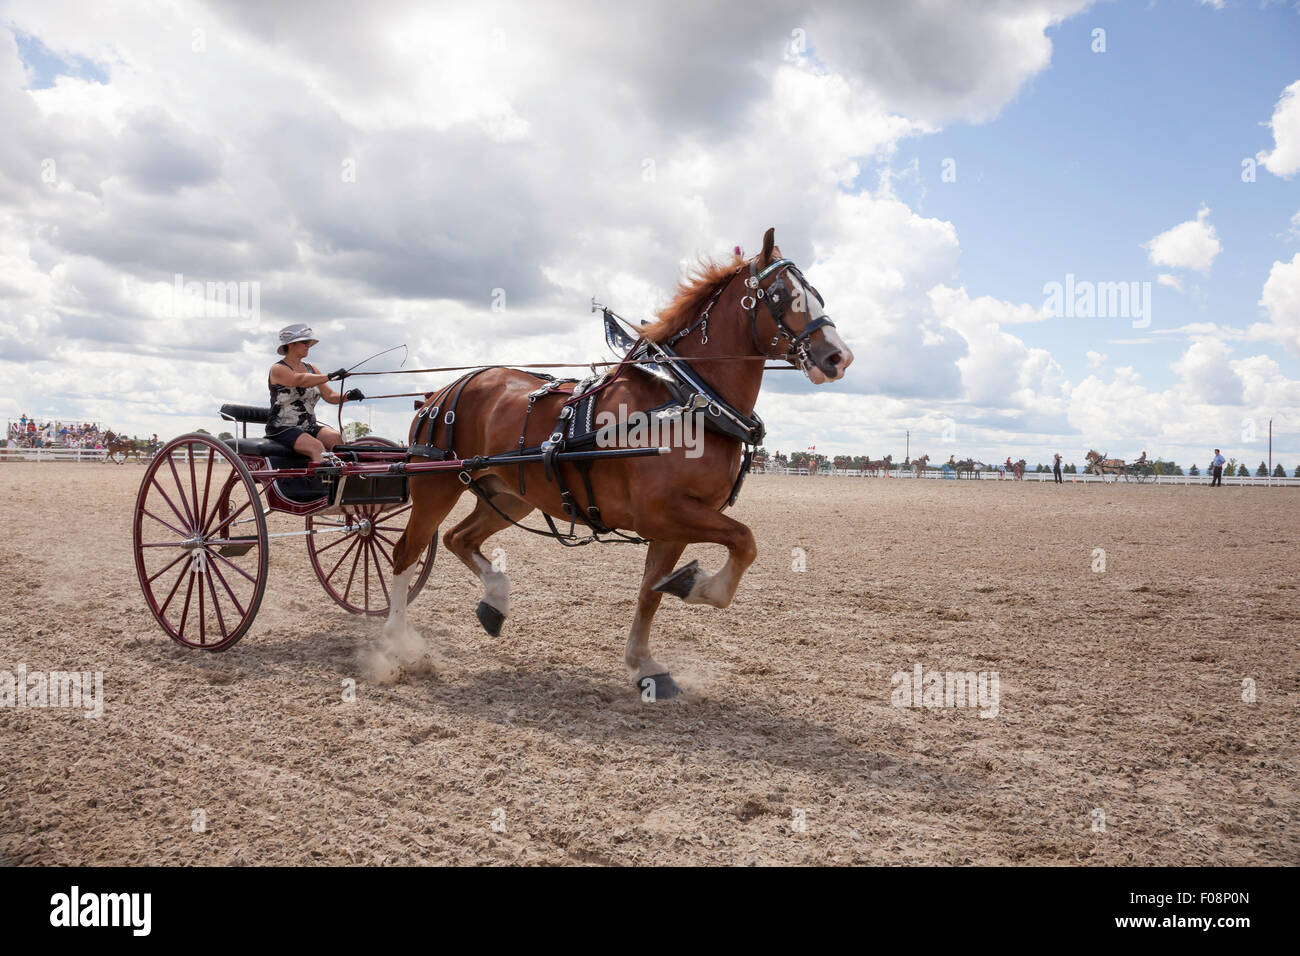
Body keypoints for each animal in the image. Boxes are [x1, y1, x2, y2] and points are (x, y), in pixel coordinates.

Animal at [381, 228, 853, 698]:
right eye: (783, 294)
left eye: (816, 294)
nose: (839, 356)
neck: (688, 400)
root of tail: (438, 393)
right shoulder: (661, 513)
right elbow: (745, 541)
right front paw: (695, 586)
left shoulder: (673, 527)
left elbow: (651, 593)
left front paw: (645, 664)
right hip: (435, 487)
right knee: (407, 554)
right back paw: (396, 650)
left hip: (510, 495)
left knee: (457, 539)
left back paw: (495, 601)